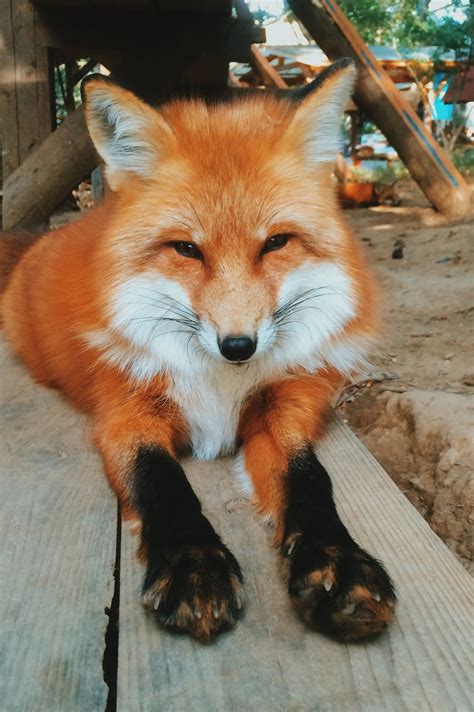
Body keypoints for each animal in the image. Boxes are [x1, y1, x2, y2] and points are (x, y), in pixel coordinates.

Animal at [1, 58, 396, 642]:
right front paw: (192, 563)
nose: (238, 346)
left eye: (275, 243)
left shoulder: (285, 406)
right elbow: (161, 480)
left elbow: (311, 478)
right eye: (187, 249)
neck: (223, 384)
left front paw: (339, 560)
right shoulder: (125, 411)